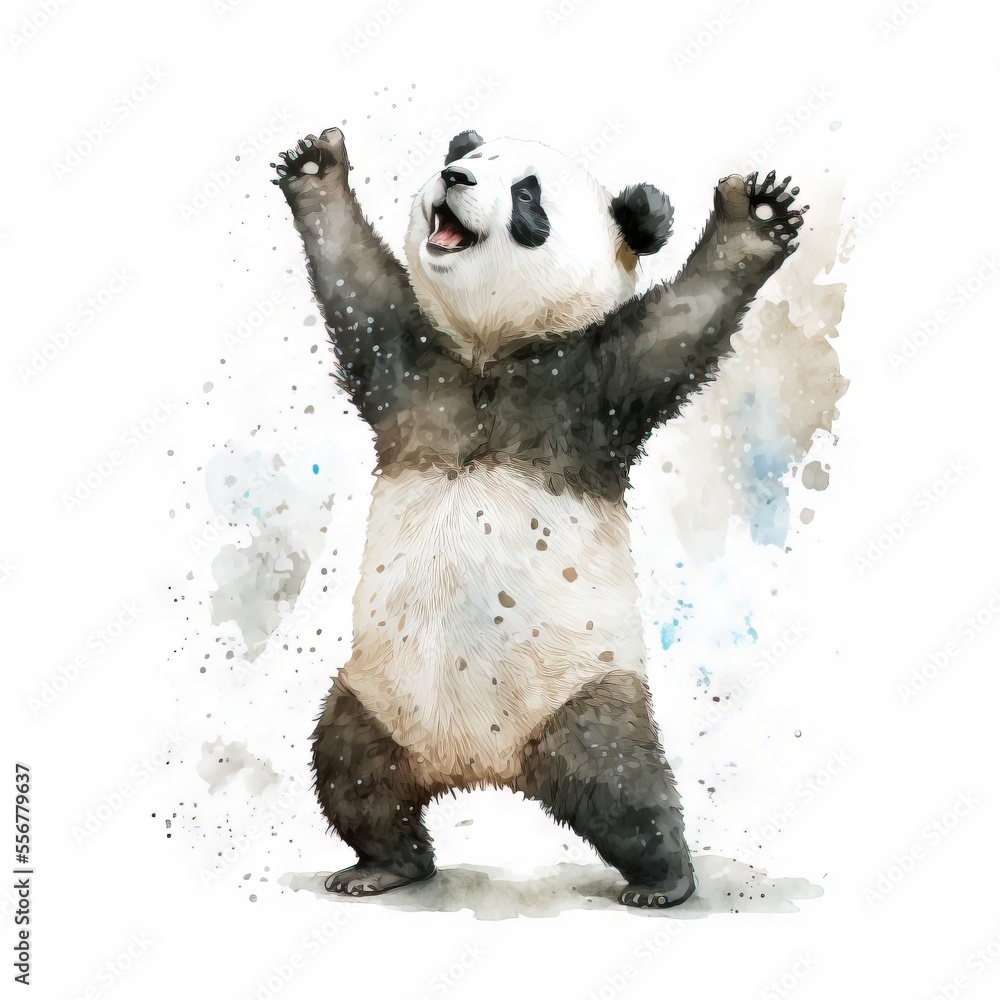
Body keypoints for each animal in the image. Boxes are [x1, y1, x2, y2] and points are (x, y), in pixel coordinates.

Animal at [273, 126, 803, 908]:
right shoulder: (416, 374)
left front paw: (757, 218)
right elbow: (356, 286)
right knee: (350, 772)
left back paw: (664, 880)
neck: (491, 353)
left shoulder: (586, 389)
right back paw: (382, 866)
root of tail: (475, 763)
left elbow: (679, 324)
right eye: (464, 157)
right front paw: (315, 171)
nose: (455, 178)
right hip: (373, 697)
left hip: (581, 692)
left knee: (624, 786)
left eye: (529, 196)